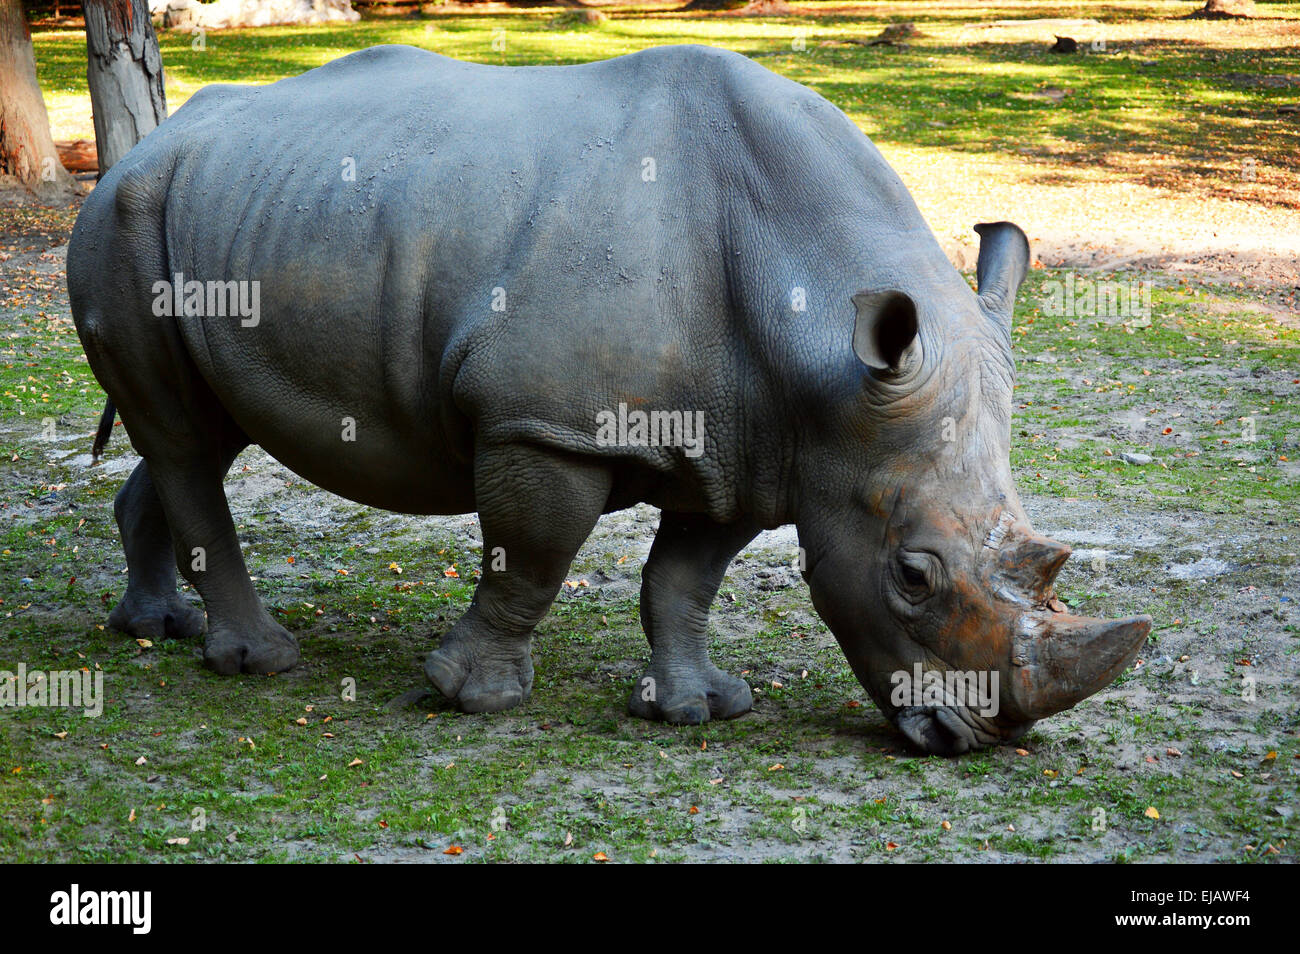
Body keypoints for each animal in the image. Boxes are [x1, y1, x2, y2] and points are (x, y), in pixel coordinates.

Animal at [68, 44, 1150, 754]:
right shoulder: (545, 424)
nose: (973, 738)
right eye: (914, 576)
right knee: (186, 440)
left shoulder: (755, 445)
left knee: (195, 437)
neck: (816, 344)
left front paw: (700, 710)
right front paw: (473, 698)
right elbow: (533, 558)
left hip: (219, 215)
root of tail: (146, 142)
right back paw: (261, 661)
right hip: (124, 216)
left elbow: (684, 578)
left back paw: (154, 628)